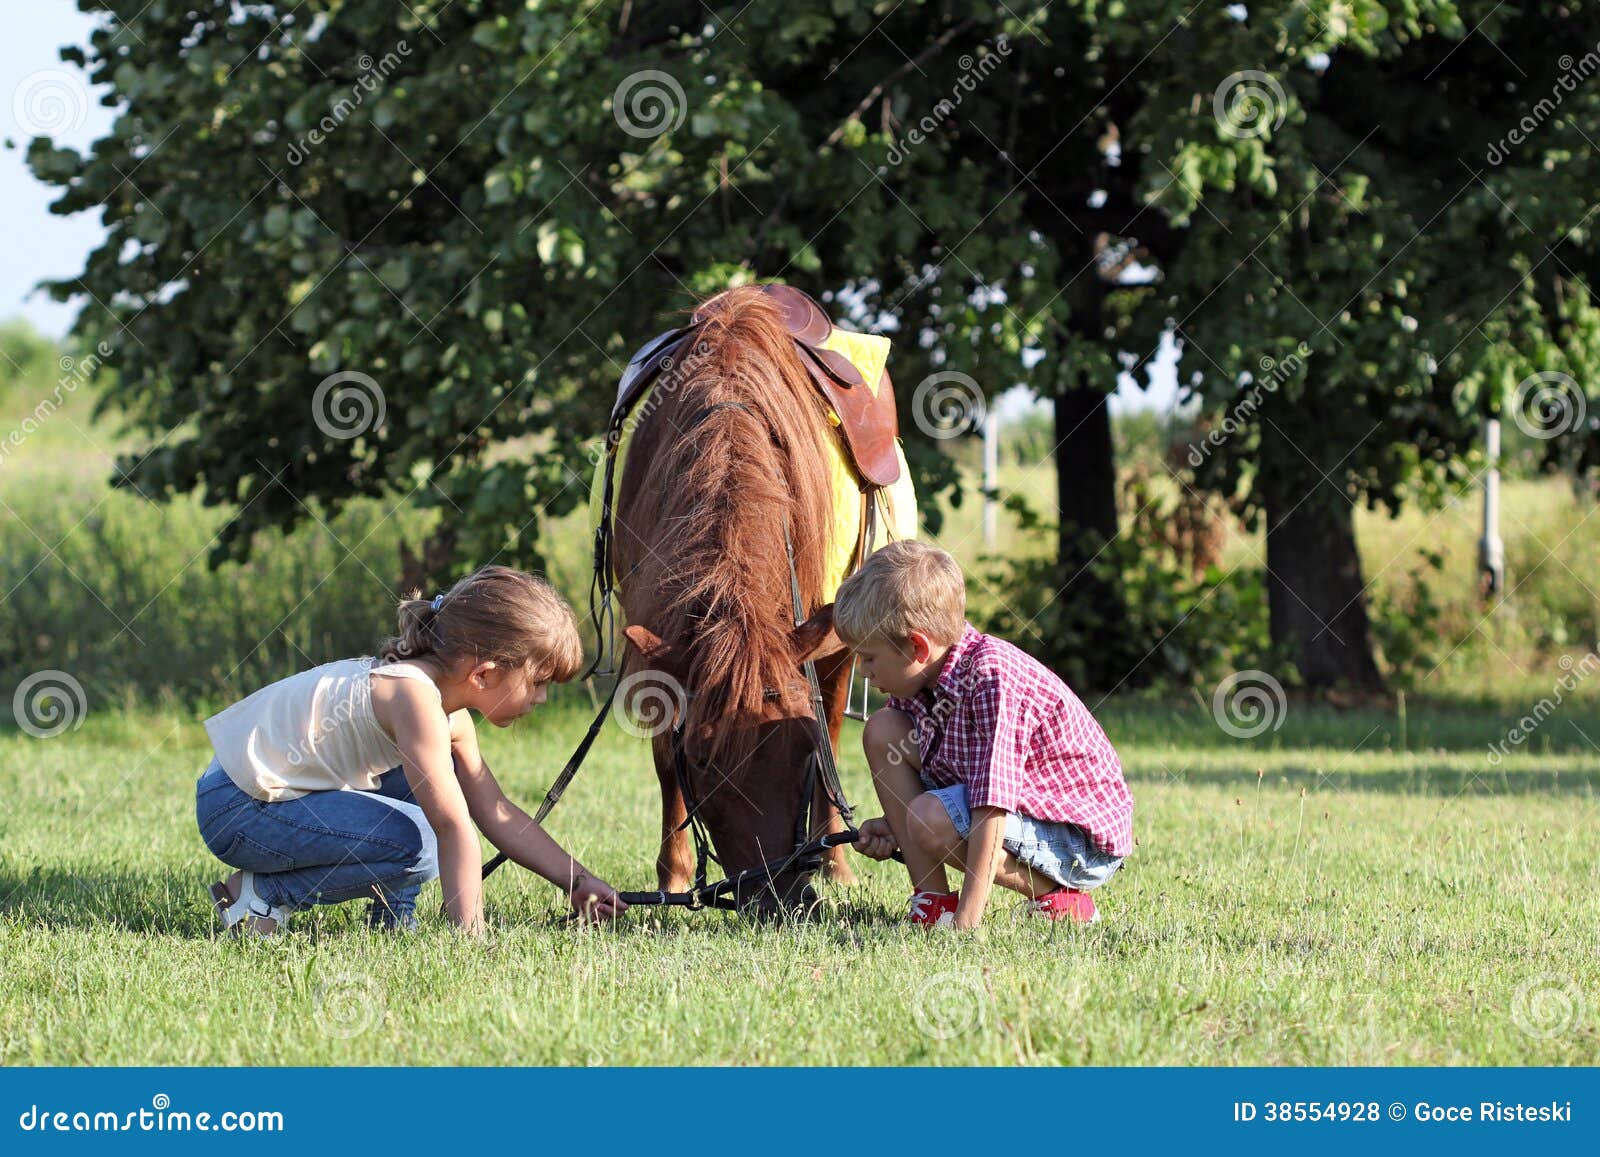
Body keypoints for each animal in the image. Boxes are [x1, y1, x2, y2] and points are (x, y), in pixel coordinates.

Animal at [610, 285, 876, 915]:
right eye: (705, 760)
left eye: (800, 753)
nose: (776, 895)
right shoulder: (659, 643)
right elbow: (665, 762)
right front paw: (673, 878)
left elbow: (827, 742)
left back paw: (837, 863)